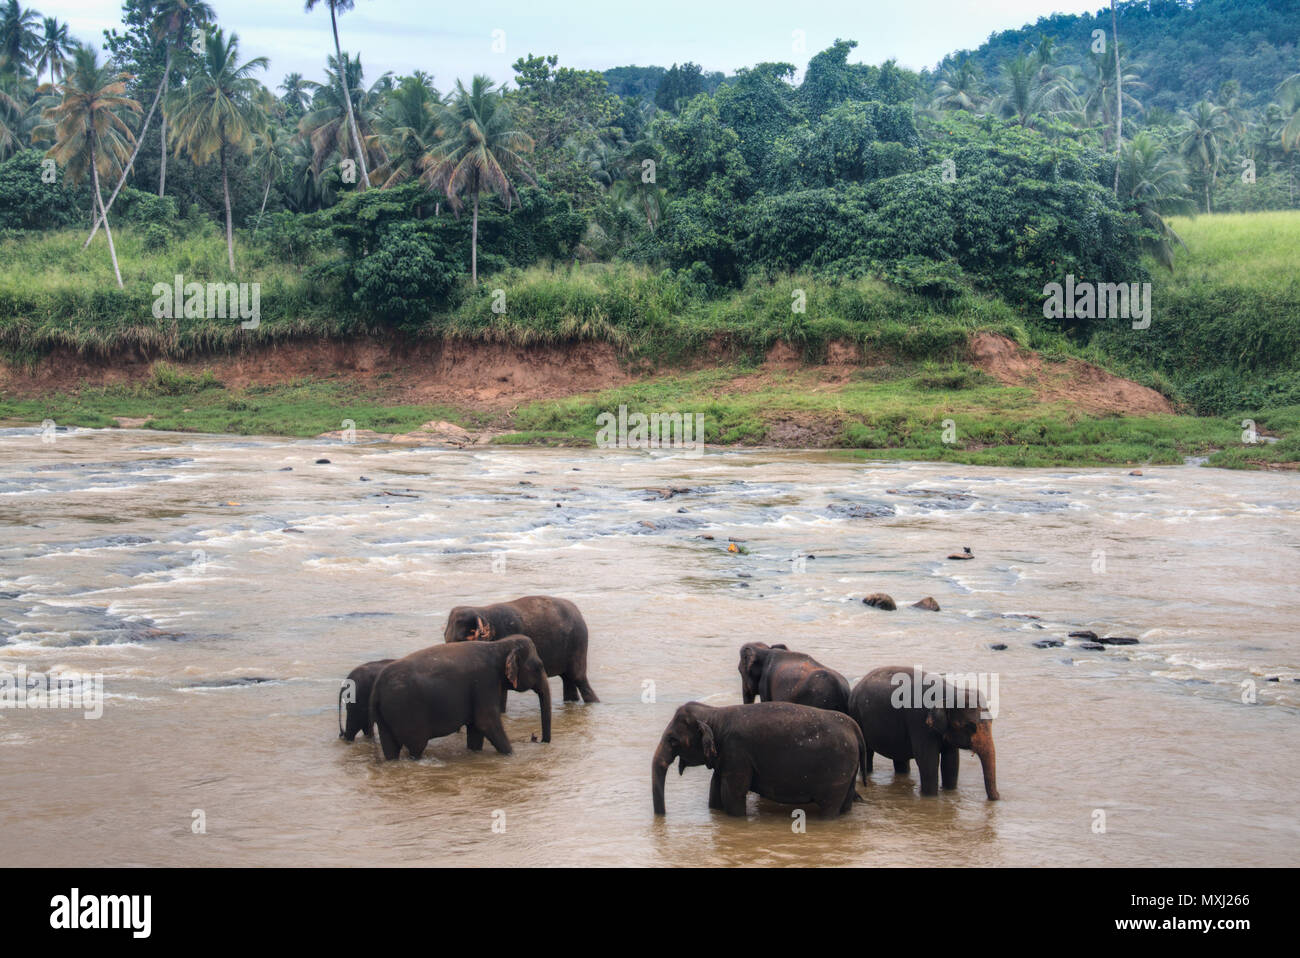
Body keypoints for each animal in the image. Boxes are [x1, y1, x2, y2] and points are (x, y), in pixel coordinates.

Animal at [370, 636, 551, 760]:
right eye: (539, 666)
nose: (537, 739)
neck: (499, 645)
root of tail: (376, 690)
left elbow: (476, 730)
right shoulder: (485, 682)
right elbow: (485, 722)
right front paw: (512, 755)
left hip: (385, 717)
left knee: (390, 747)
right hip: (407, 711)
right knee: (416, 745)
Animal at [444, 595, 598, 704]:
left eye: (460, 640)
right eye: (446, 640)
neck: (482, 611)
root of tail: (577, 611)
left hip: (578, 643)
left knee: (578, 677)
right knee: (567, 679)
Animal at [651, 701, 867, 818]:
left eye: (673, 740)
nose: (663, 816)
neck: (715, 713)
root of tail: (855, 729)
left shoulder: (737, 753)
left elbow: (732, 795)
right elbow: (715, 792)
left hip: (838, 770)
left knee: (830, 806)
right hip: (849, 770)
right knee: (845, 805)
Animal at [847, 665, 999, 800]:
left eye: (992, 721)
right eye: (970, 726)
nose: (997, 797)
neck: (951, 692)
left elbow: (951, 760)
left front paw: (950, 792)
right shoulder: (919, 723)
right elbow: (928, 760)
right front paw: (930, 798)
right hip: (857, 716)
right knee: (868, 752)